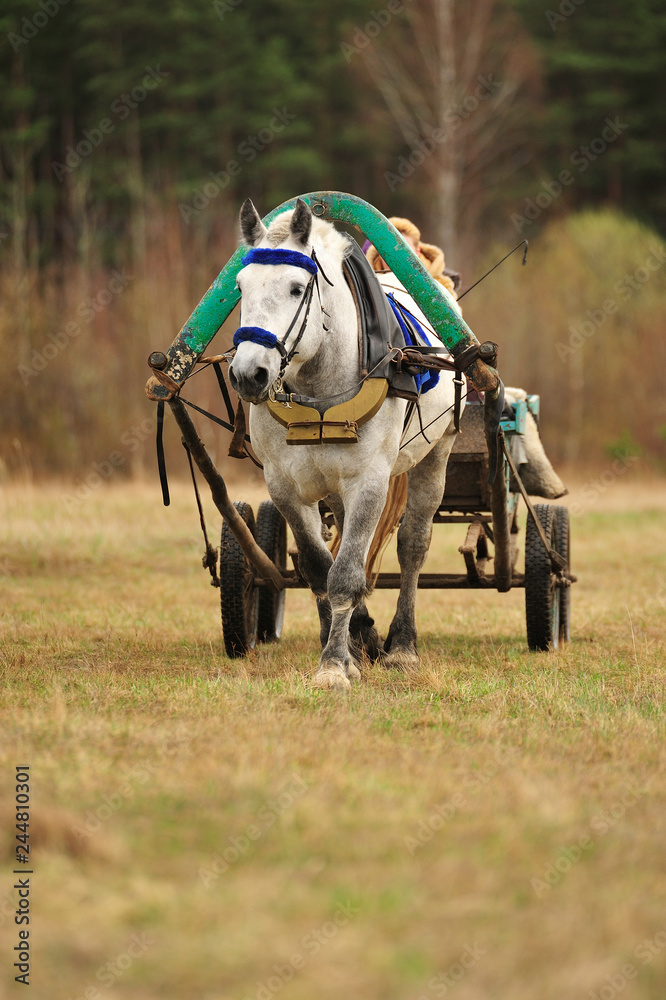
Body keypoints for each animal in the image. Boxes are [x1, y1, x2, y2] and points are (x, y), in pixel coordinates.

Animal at [228, 198, 459, 689]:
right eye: (239, 286)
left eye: (297, 288)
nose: (248, 373)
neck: (320, 391)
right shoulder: (285, 486)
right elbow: (319, 568)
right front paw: (346, 649)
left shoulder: (368, 482)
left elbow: (347, 573)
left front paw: (334, 665)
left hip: (436, 454)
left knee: (413, 545)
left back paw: (402, 645)